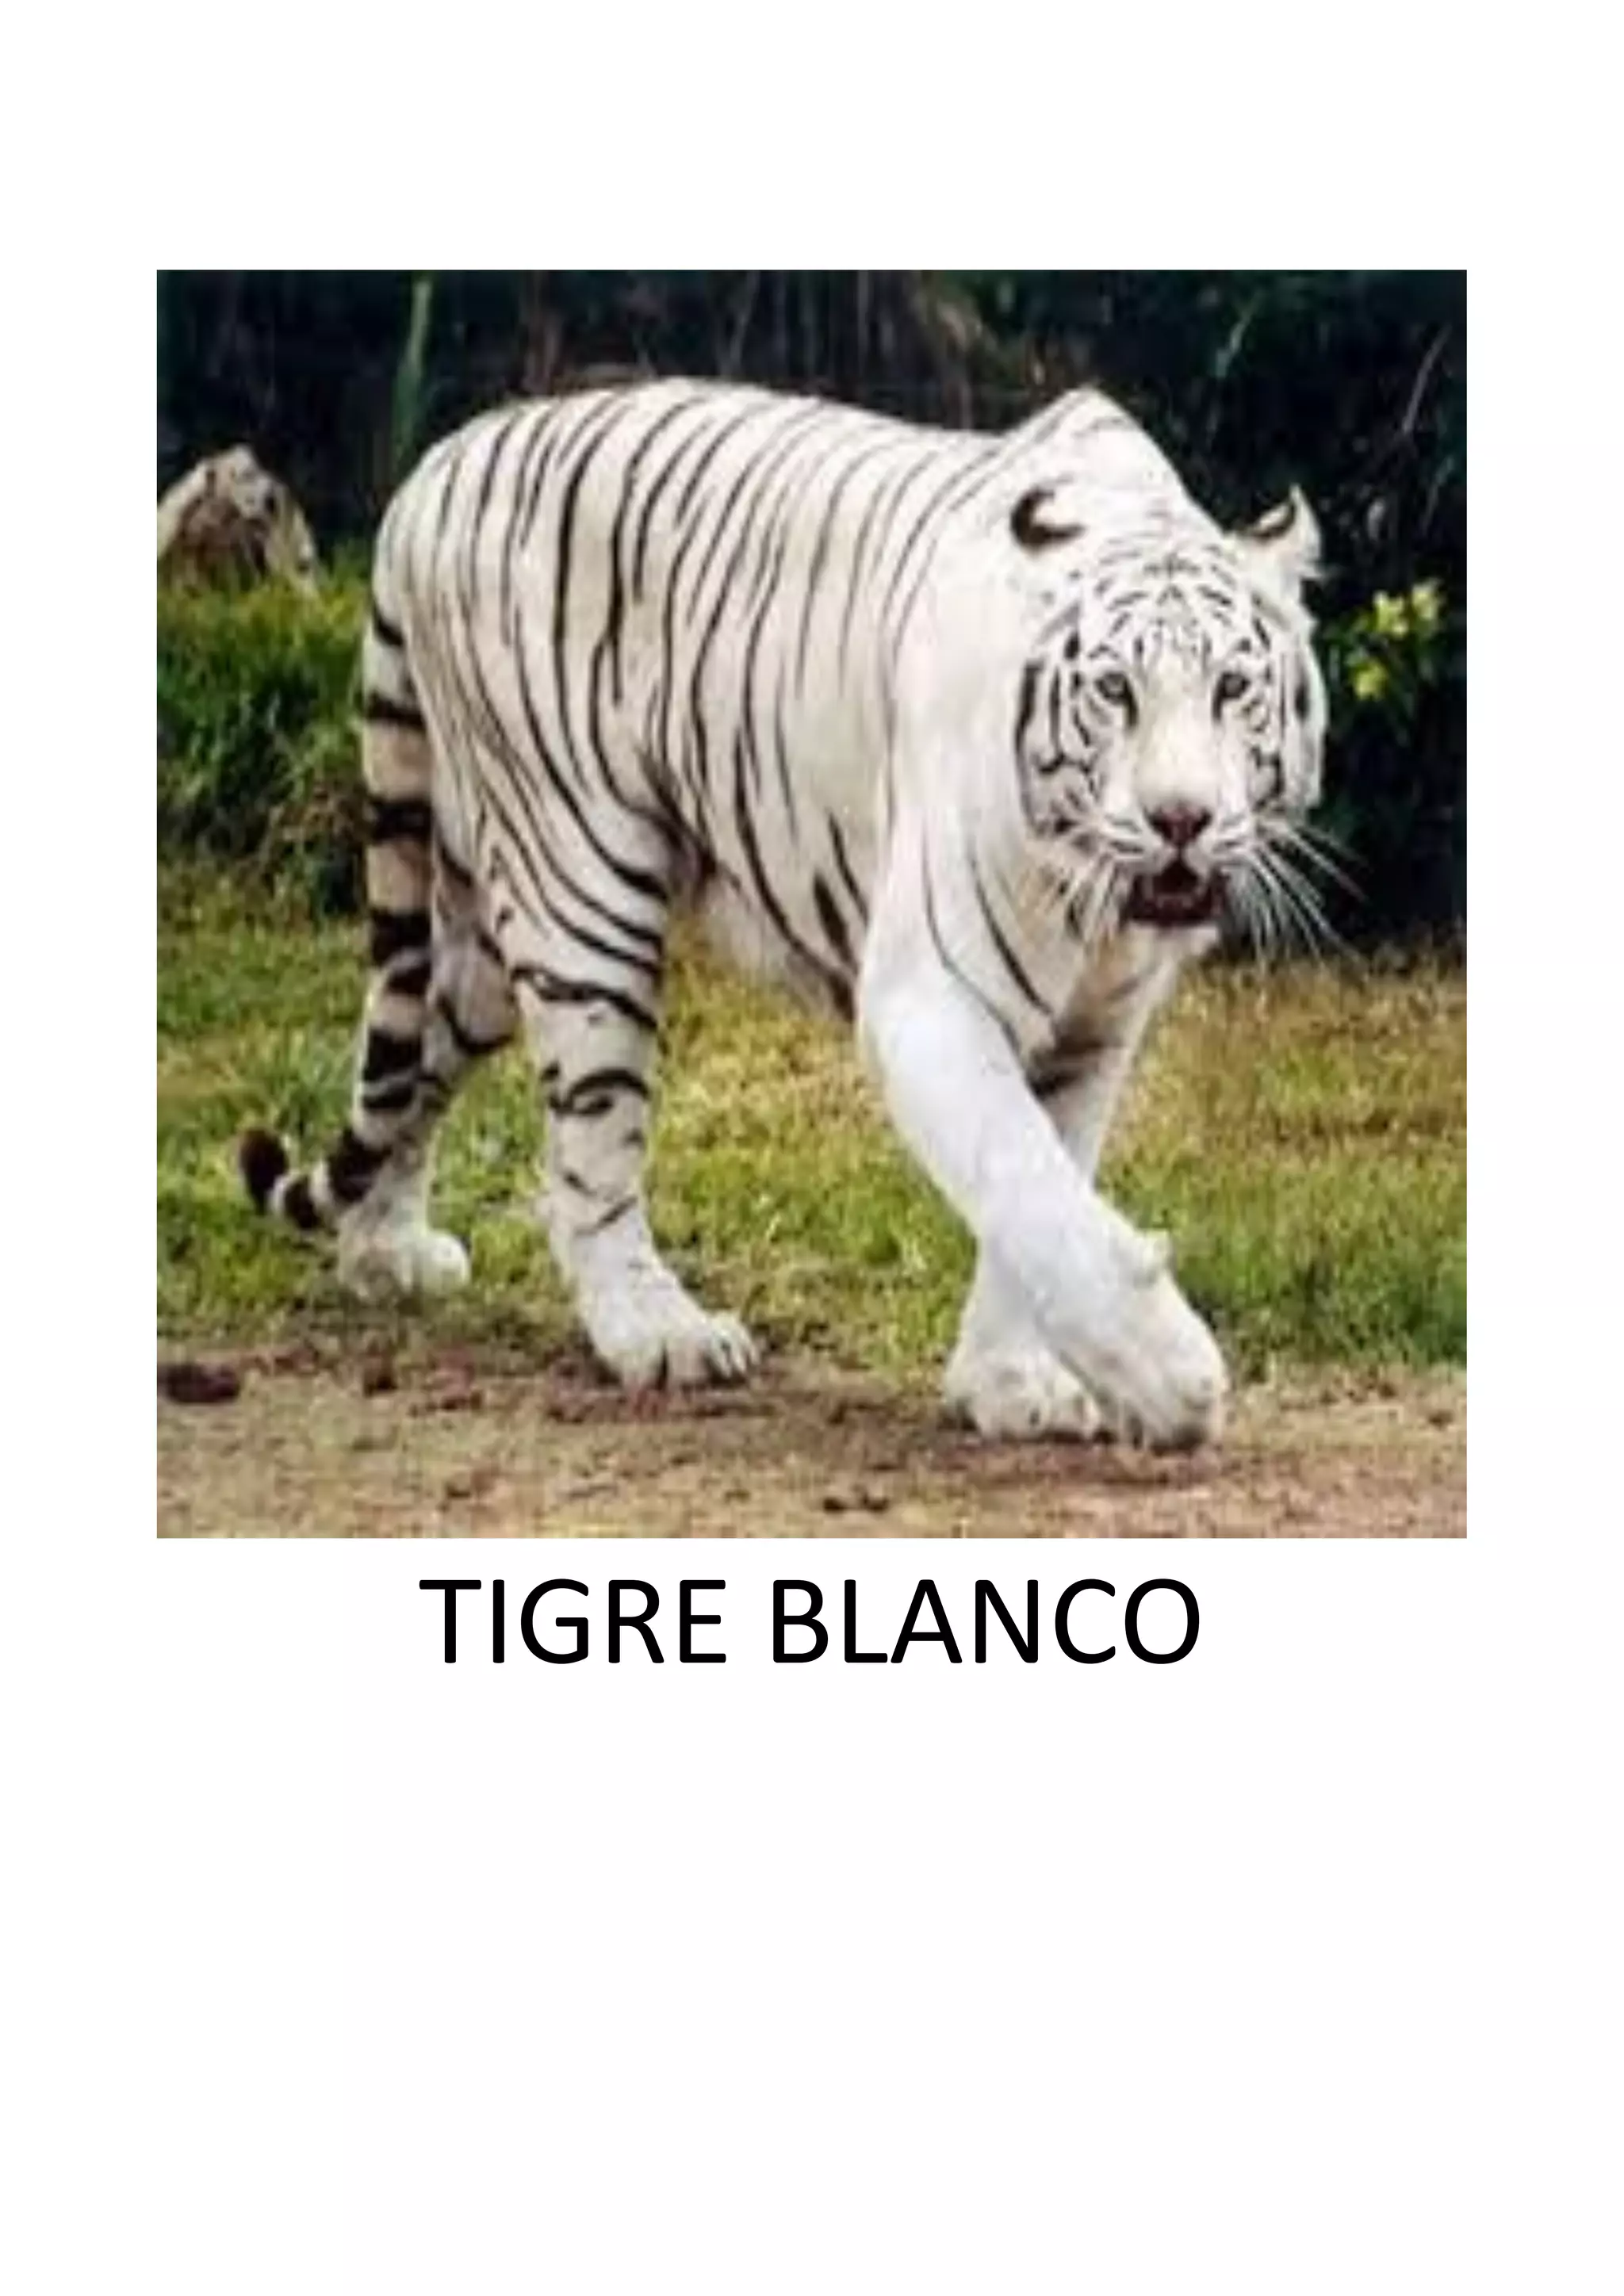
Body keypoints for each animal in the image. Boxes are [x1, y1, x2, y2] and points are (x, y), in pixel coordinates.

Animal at [239, 377, 1326, 1449]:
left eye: (1232, 687)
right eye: (1113, 690)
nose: (1179, 819)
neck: (1097, 913)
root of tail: (434, 467)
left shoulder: (1096, 1032)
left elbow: (1038, 1195)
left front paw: (1008, 1383)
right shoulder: (929, 996)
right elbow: (1024, 1179)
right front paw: (1171, 1378)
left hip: (482, 939)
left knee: (410, 1062)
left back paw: (383, 1254)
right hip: (582, 887)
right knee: (587, 1154)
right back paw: (659, 1335)